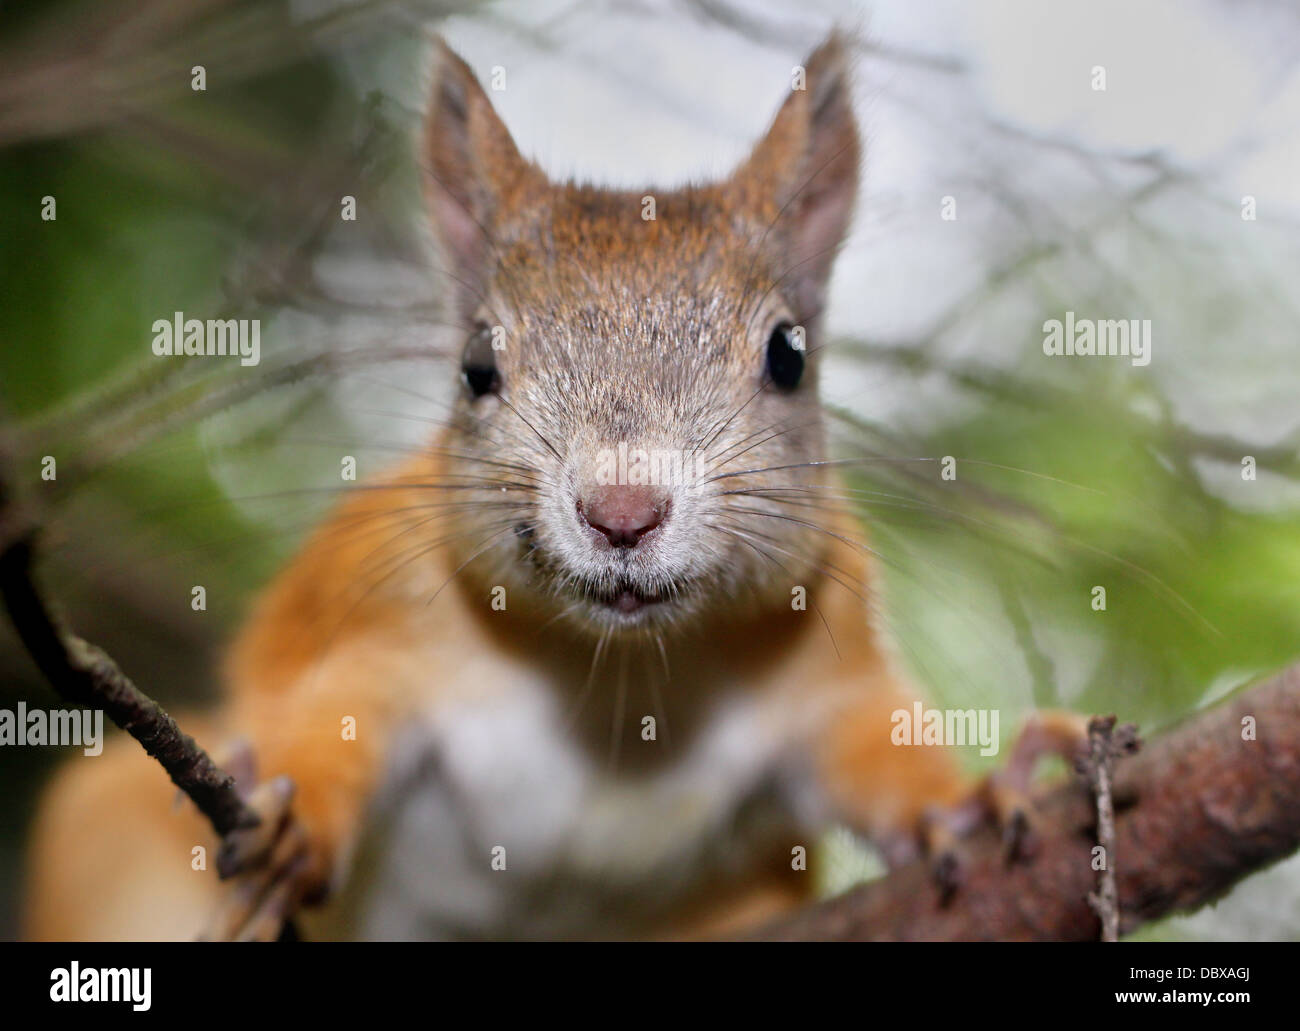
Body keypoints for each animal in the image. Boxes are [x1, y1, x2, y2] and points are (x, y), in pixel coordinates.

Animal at [24, 33, 1086, 941]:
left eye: (790, 355)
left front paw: (970, 801)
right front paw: (297, 821)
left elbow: (875, 748)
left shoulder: (829, 659)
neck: (617, 680)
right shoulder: (382, 619)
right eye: (475, 364)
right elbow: (333, 719)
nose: (622, 512)